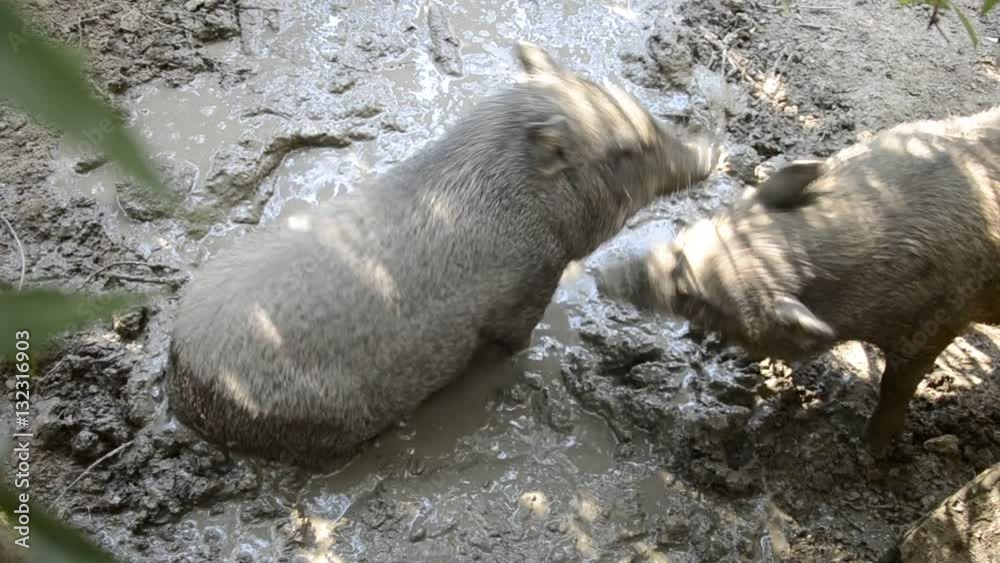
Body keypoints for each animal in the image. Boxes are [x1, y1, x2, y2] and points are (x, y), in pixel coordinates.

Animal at [595, 107, 1000, 453]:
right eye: (686, 238)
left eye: (692, 297)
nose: (602, 277)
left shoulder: (940, 322)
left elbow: (896, 386)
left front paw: (868, 451)